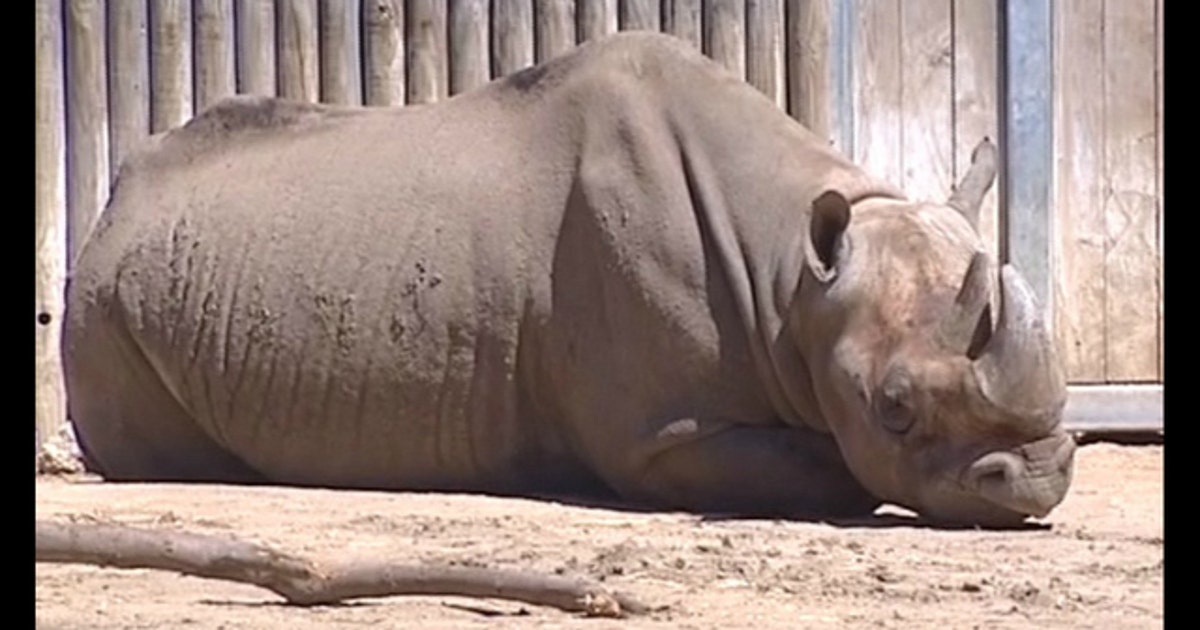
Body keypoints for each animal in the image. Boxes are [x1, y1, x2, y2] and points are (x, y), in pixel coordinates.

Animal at [62, 32, 1073, 527]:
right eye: (893, 409)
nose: (1037, 482)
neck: (796, 281)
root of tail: (110, 211)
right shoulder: (661, 436)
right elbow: (838, 473)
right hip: (101, 312)